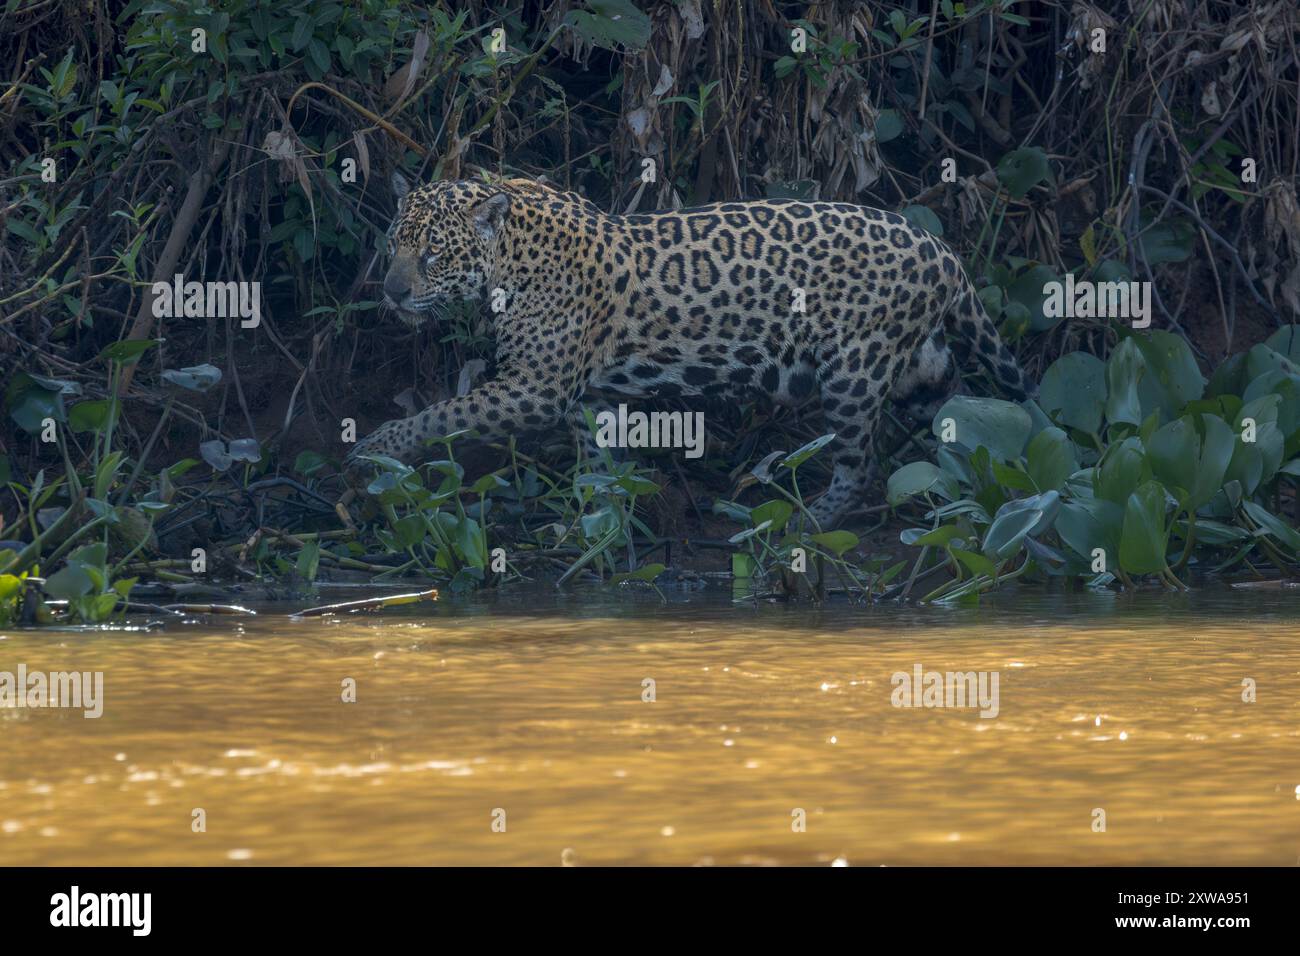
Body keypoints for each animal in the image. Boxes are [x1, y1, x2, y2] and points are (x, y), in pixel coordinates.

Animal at [345, 174, 1034, 524]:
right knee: (960, 415)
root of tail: (938, 247)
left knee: (860, 464)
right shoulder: (584, 397)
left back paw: (806, 522)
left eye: (434, 254)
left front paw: (375, 451)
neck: (511, 253)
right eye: (393, 243)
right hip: (921, 366)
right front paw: (600, 520)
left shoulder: (534, 388)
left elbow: (442, 415)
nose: (392, 292)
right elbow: (599, 462)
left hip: (854, 371)